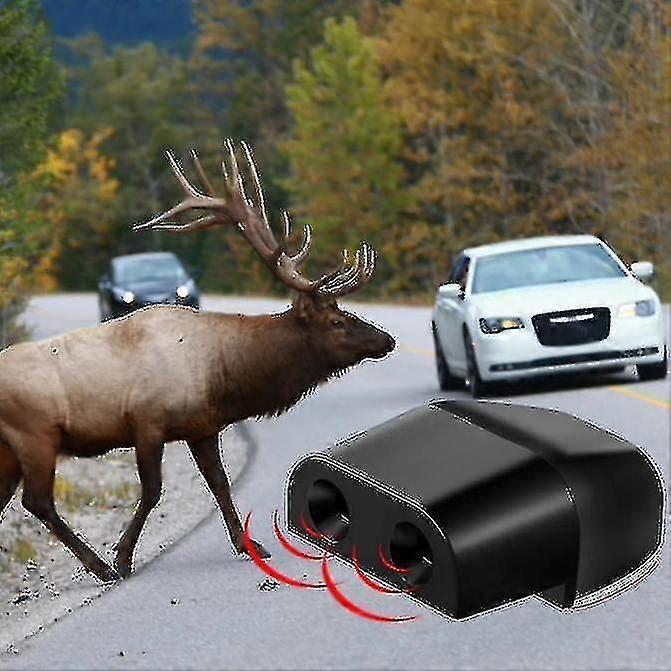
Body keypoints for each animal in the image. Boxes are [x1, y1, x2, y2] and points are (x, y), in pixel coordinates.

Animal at [0, 139, 395, 582]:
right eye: (336, 321)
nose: (387, 339)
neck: (221, 375)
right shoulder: (147, 421)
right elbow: (153, 491)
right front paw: (123, 556)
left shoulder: (202, 427)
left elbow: (219, 484)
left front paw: (249, 544)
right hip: (35, 436)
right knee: (37, 502)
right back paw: (100, 566)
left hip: (8, 451)